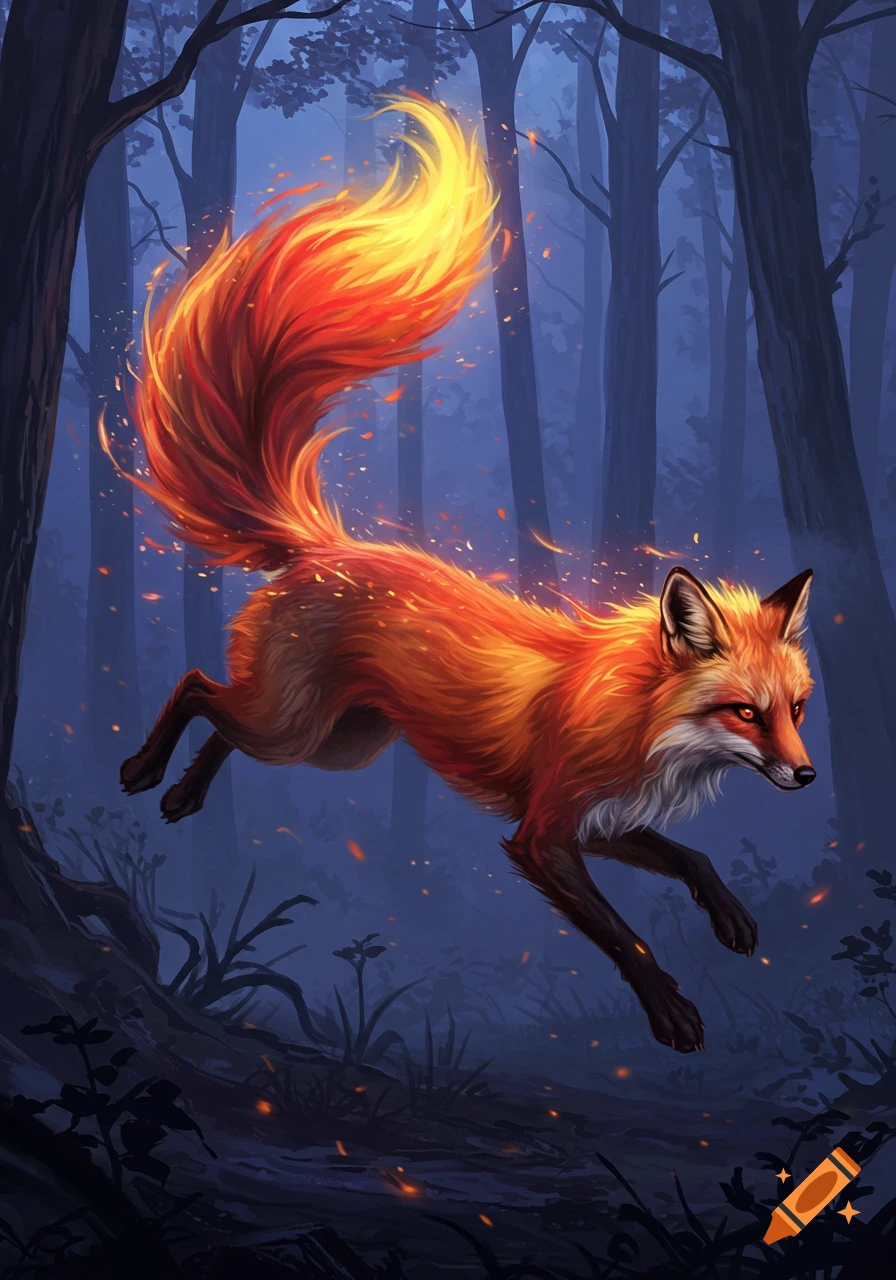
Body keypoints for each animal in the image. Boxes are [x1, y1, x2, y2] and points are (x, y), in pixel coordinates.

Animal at [116, 96, 816, 1053]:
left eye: (797, 710)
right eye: (745, 712)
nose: (808, 777)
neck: (641, 718)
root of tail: (329, 546)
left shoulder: (602, 821)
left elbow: (692, 855)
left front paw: (732, 918)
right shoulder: (544, 833)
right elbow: (625, 935)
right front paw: (669, 1008)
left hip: (341, 743)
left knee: (223, 714)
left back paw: (185, 792)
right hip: (302, 731)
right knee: (194, 686)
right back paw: (147, 771)